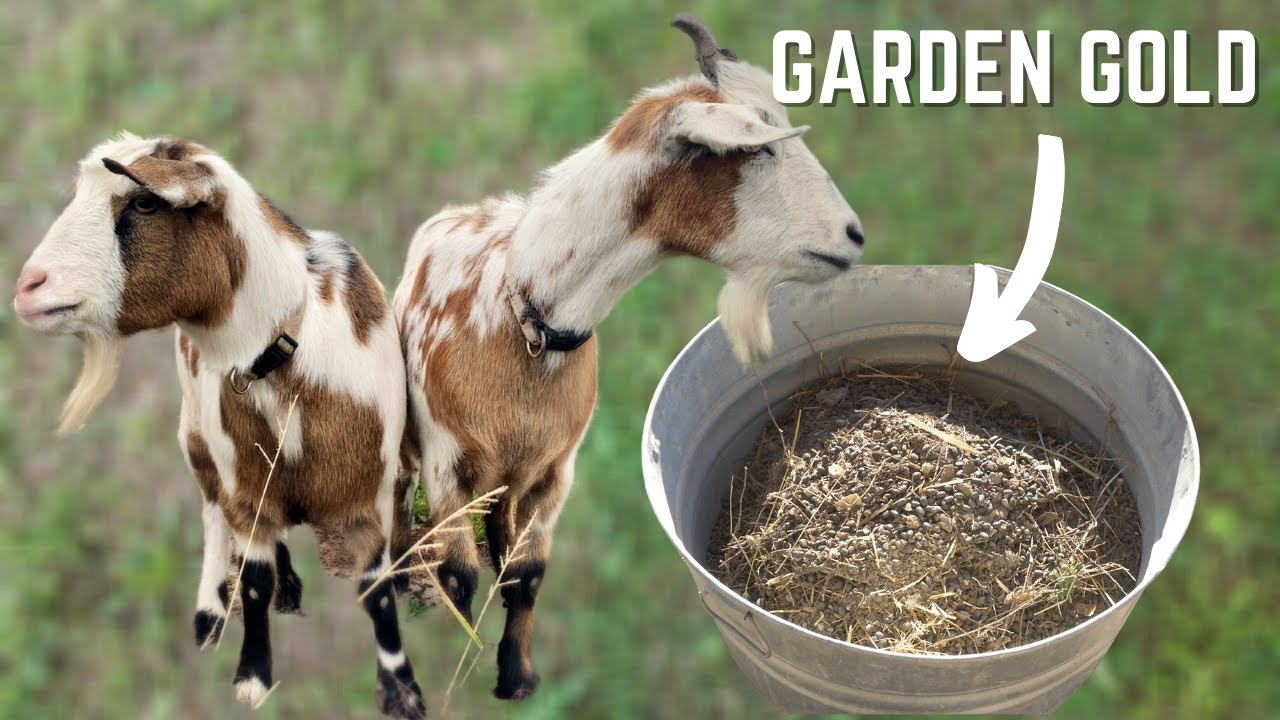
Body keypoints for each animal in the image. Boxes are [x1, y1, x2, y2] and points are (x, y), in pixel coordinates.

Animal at [14, 134, 426, 719]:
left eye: (144, 202)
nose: (27, 288)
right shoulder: (243, 489)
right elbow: (252, 581)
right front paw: (253, 677)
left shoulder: (365, 500)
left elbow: (377, 589)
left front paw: (401, 691)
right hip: (195, 438)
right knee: (212, 511)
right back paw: (212, 612)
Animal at [392, 13, 865, 701]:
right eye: (762, 145)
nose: (854, 237)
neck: (522, 315)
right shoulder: (445, 462)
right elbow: (459, 574)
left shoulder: (556, 472)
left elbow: (528, 574)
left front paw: (516, 679)